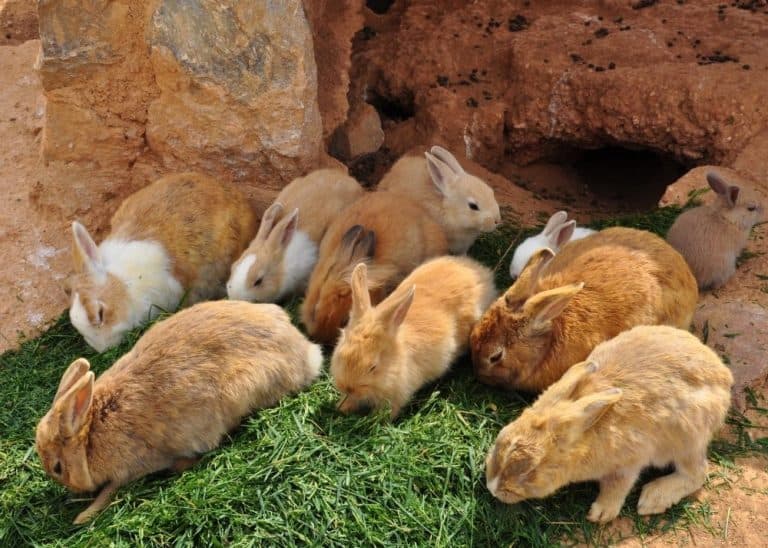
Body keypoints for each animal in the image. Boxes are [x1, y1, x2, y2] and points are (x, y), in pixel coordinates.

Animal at [36, 300, 323, 524]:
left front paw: (82, 516)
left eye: (58, 467)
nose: (72, 490)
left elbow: (110, 490)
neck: (91, 431)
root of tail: (308, 353)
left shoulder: (132, 468)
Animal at [331, 256, 496, 419]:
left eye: (373, 367)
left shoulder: (397, 396)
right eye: (340, 356)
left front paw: (376, 420)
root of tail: (482, 272)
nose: (348, 388)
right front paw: (342, 407)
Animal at [486, 324, 733, 523]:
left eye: (531, 470)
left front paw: (600, 514)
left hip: (685, 439)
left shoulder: (629, 462)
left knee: (697, 473)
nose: (493, 488)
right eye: (500, 438)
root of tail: (724, 378)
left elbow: (617, 485)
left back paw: (652, 499)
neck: (585, 436)